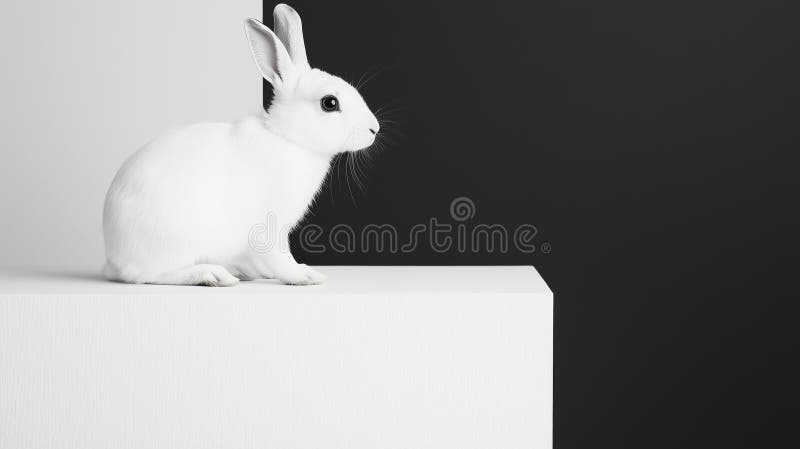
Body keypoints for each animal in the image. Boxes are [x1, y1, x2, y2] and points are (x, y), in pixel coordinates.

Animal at [102, 4, 379, 286]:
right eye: (329, 103)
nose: (374, 129)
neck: (286, 137)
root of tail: (114, 256)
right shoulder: (271, 226)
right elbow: (279, 257)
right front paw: (304, 275)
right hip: (170, 242)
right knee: (152, 275)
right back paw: (212, 275)